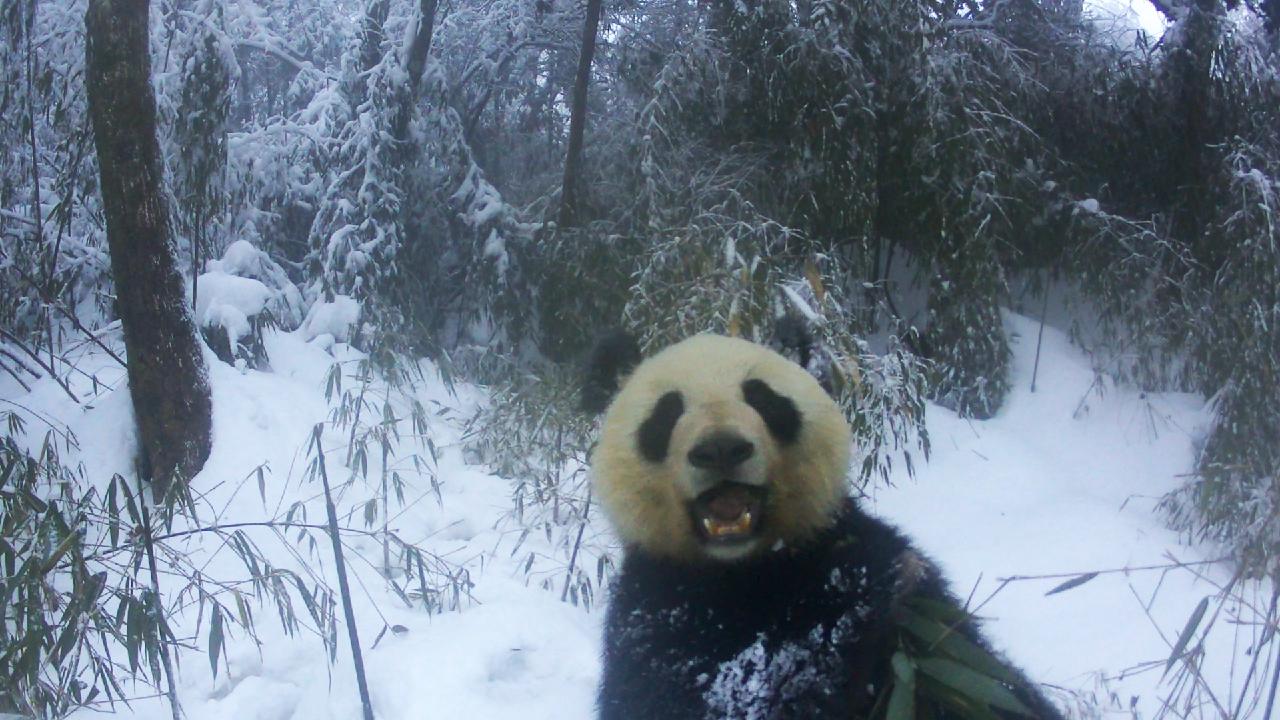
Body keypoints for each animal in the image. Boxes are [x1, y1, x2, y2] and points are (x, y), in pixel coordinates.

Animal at [583, 331, 1066, 720]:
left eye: (762, 398)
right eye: (667, 412)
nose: (720, 448)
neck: (748, 569)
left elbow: (986, 685)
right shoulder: (655, 610)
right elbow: (730, 693)